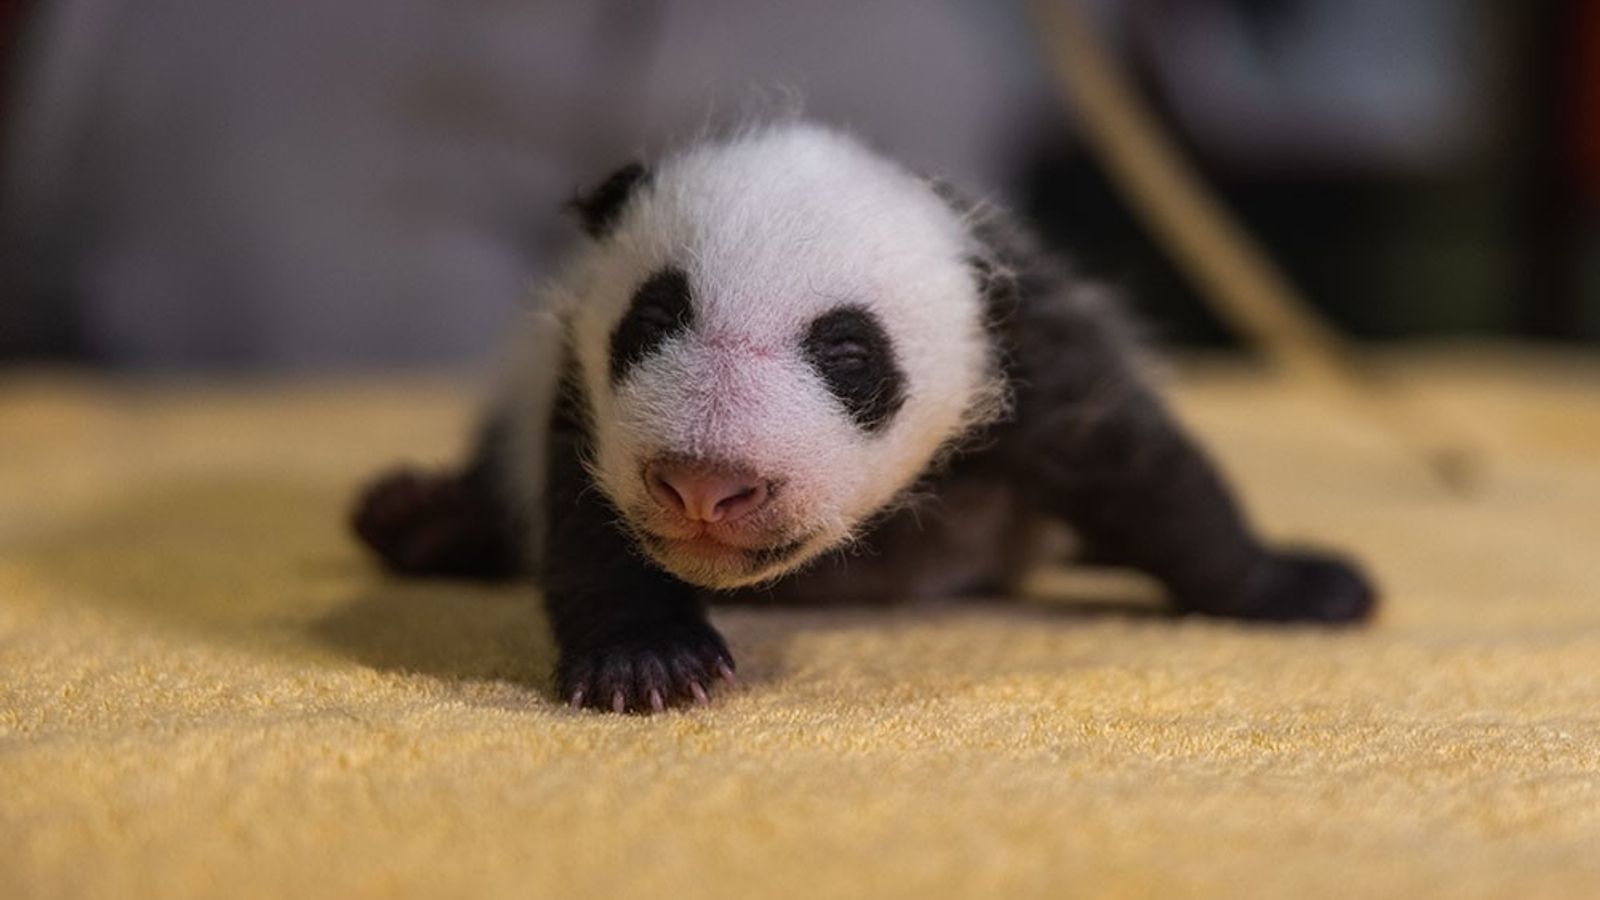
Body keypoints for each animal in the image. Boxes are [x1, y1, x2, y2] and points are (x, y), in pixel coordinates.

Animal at [352, 121, 1376, 715]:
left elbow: (1148, 477)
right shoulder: (579, 386)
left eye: (848, 356)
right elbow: (586, 513)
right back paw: (420, 519)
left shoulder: (1026, 350)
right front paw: (645, 660)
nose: (704, 488)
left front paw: (1299, 585)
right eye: (651, 319)